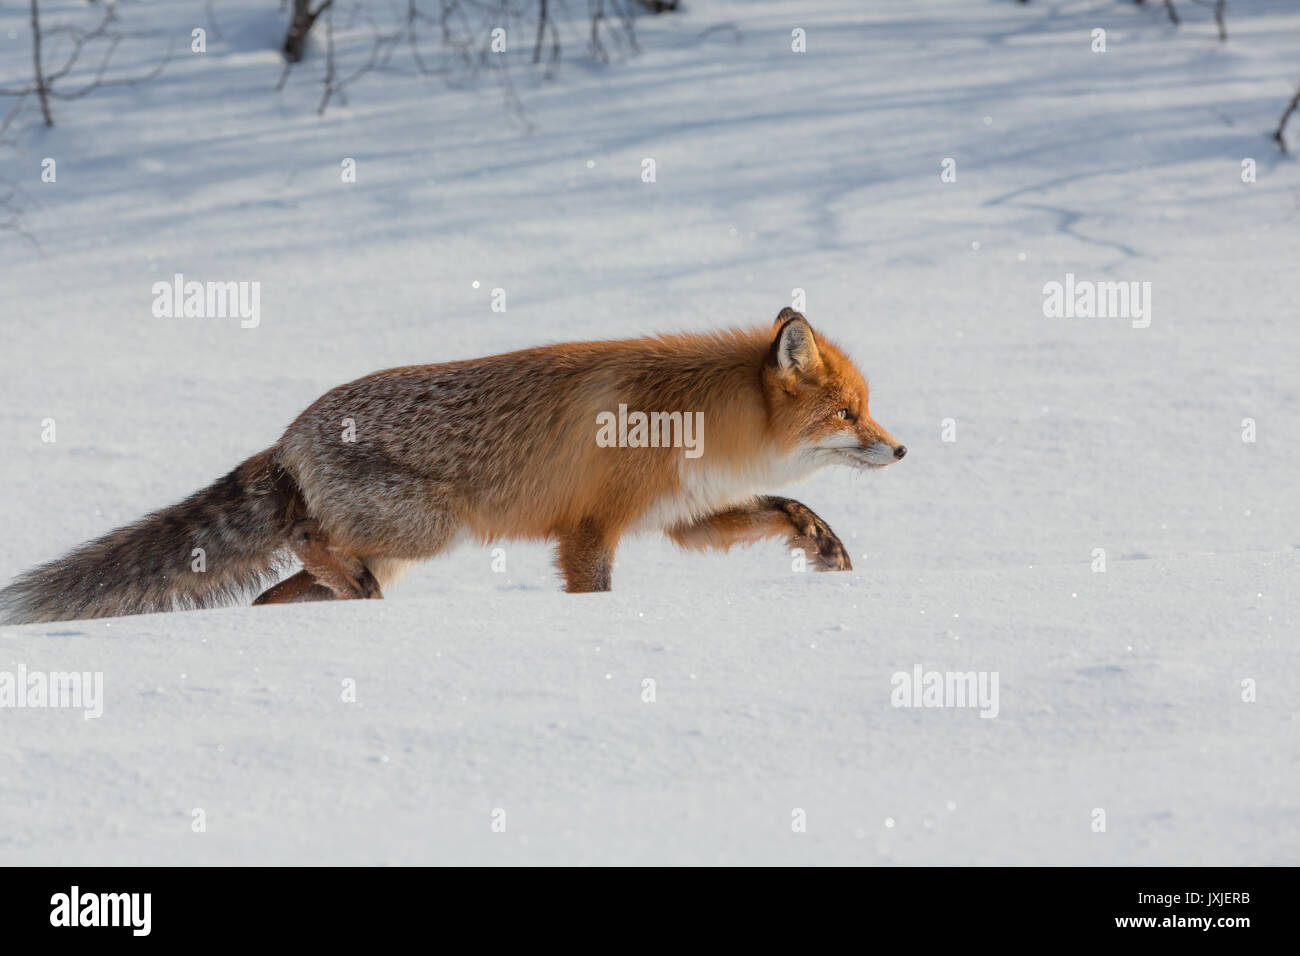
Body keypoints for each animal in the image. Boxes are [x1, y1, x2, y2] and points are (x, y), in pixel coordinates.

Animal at [0, 309, 906, 624]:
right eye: (848, 414)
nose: (901, 449)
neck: (695, 417)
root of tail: (288, 435)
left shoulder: (680, 518)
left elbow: (781, 507)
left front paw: (824, 546)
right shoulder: (589, 530)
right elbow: (596, 594)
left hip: (397, 552)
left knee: (274, 593)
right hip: (429, 531)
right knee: (303, 540)